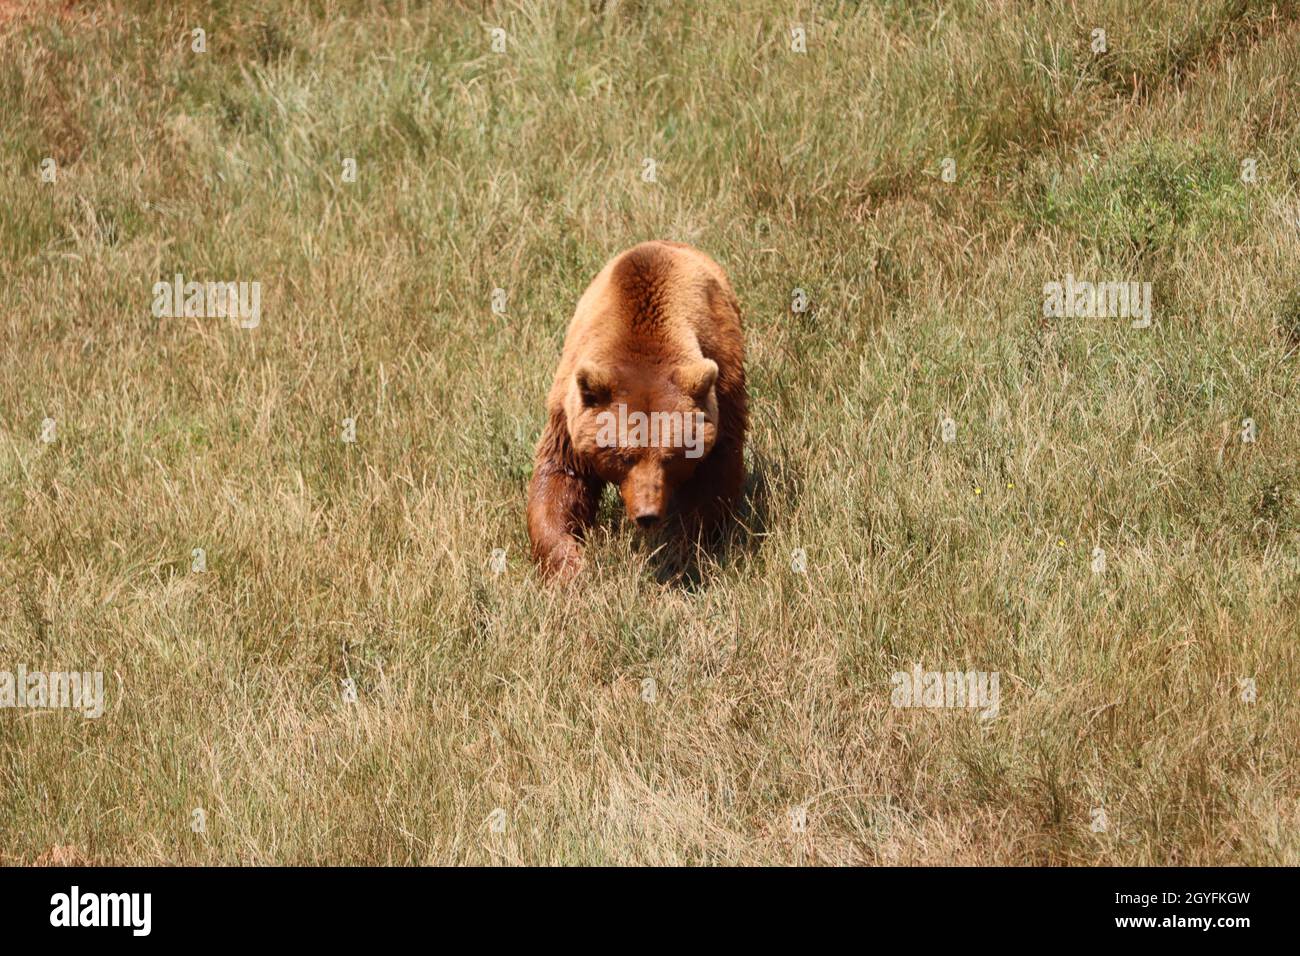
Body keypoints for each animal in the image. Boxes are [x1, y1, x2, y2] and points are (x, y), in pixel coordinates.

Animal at [527, 240, 748, 578]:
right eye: (624, 455)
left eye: (672, 456)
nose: (647, 514)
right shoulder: (570, 411)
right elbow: (560, 479)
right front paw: (570, 565)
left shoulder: (722, 387)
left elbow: (713, 477)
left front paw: (676, 553)